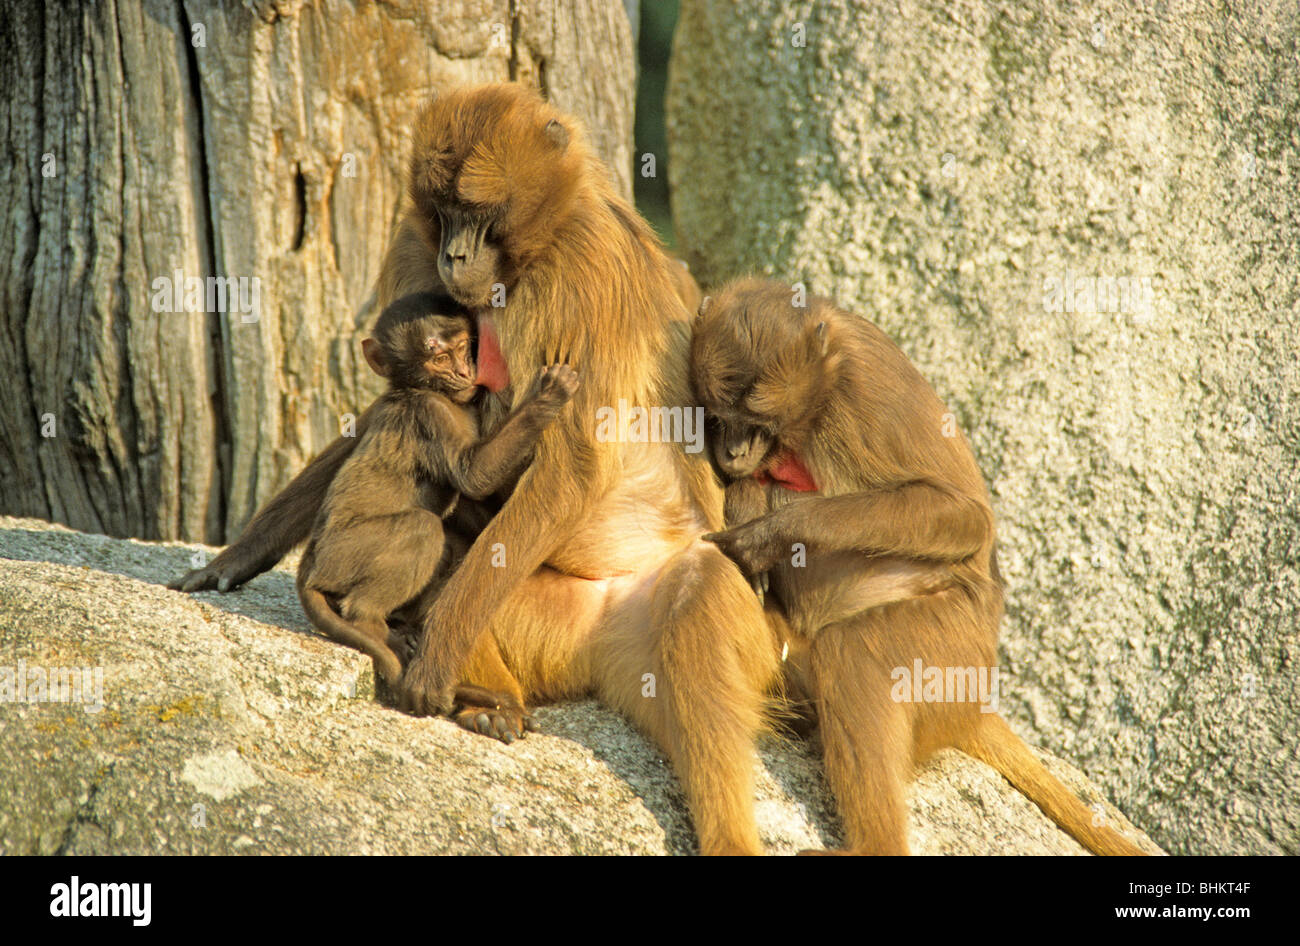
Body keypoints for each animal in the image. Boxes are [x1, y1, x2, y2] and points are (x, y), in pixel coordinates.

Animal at [297, 290, 578, 741]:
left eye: (464, 347)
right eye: (440, 357)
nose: (465, 371)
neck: (414, 388)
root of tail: (308, 567)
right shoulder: (432, 412)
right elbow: (473, 473)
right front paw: (547, 397)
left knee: (447, 546)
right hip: (342, 555)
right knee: (424, 530)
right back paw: (370, 624)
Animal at [691, 276, 1146, 855]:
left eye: (759, 423)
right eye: (719, 418)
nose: (734, 450)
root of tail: (976, 698)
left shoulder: (863, 397)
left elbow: (964, 517)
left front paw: (770, 532)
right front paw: (750, 504)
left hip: (953, 650)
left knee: (854, 655)